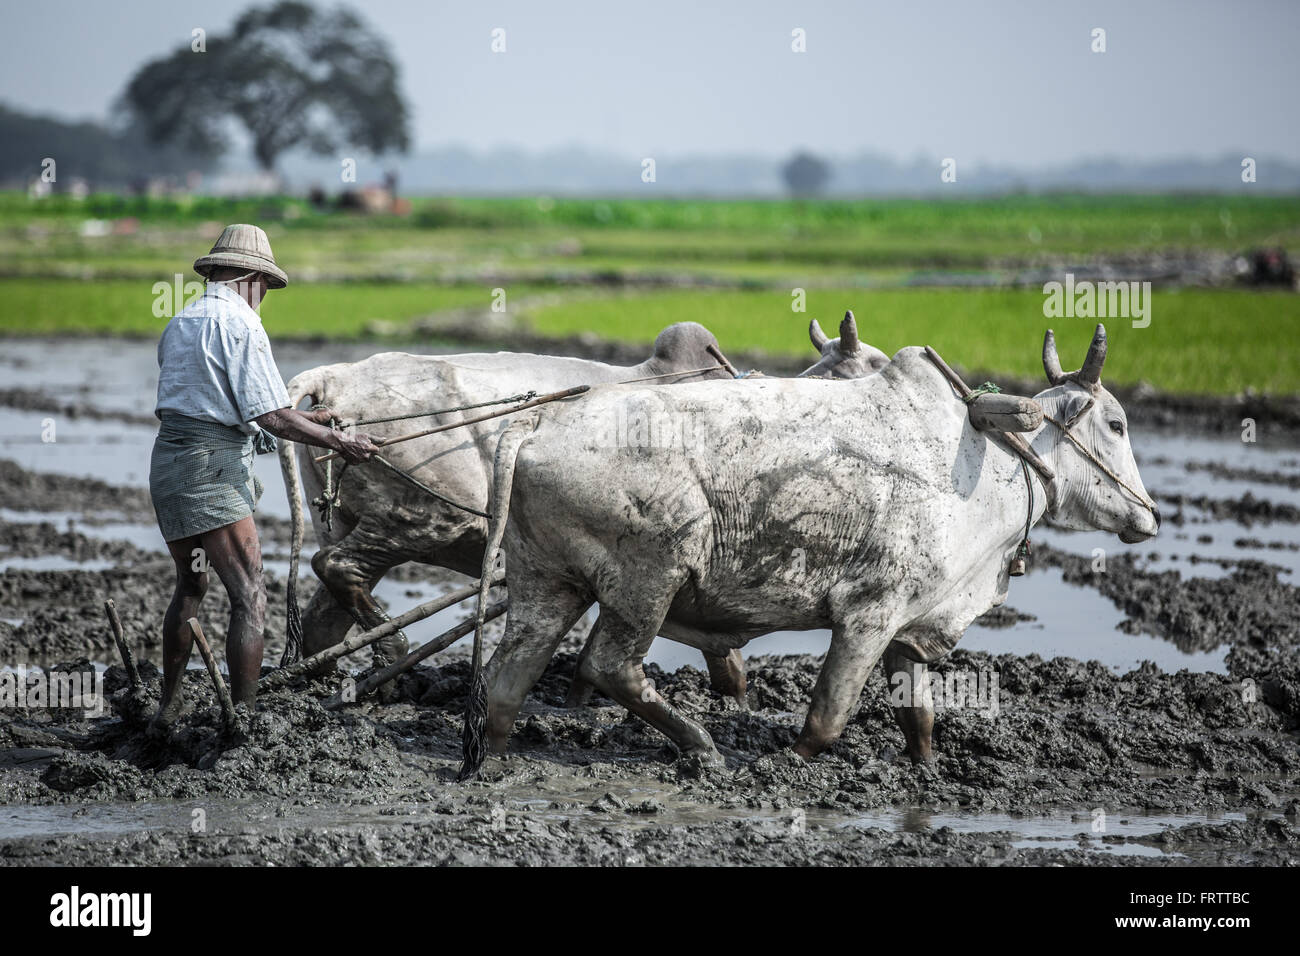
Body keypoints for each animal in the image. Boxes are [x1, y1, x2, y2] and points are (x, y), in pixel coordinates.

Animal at [463, 324, 1159, 774]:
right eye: (1118, 424)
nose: (1151, 517)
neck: (992, 463)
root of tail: (539, 421)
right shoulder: (869, 613)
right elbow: (827, 716)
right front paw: (785, 766)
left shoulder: (909, 627)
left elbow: (920, 717)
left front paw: (928, 774)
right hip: (649, 578)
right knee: (609, 667)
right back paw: (703, 747)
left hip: (548, 583)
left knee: (508, 678)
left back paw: (493, 763)